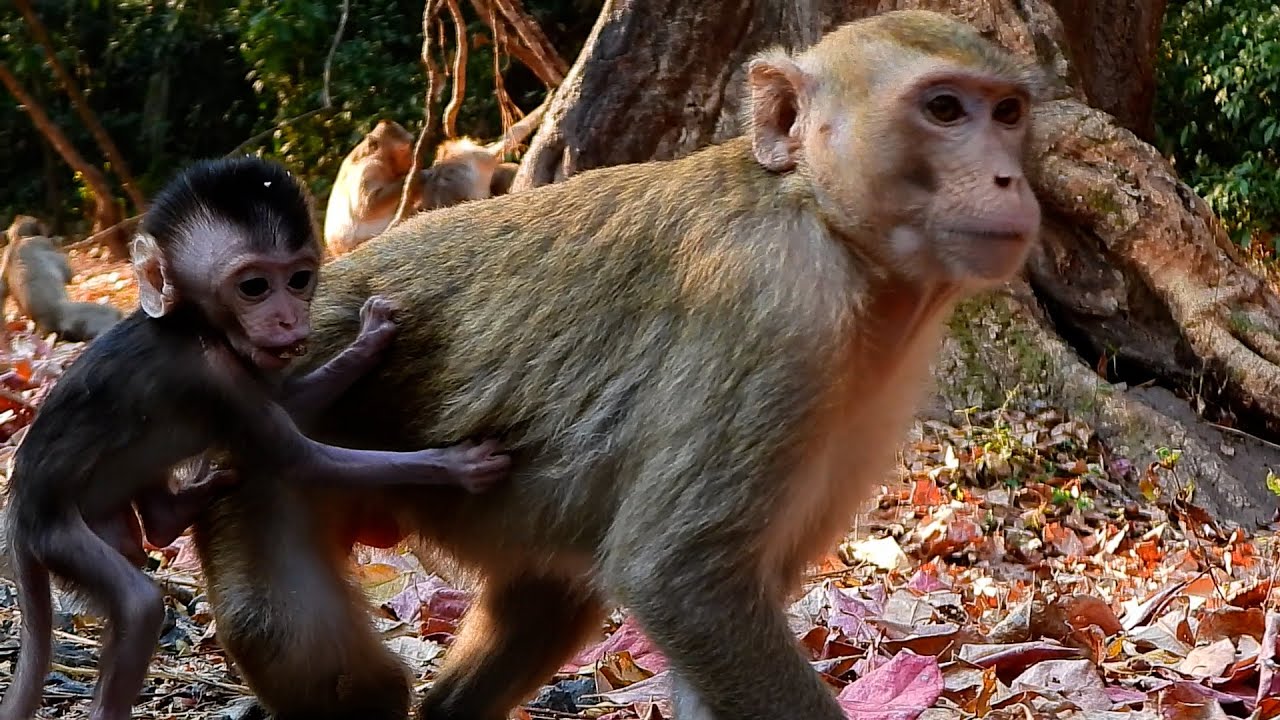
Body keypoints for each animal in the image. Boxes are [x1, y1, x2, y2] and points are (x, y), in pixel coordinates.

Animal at [0, 155, 512, 720]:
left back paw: (168, 516)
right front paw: (456, 466)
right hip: (56, 531)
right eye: (254, 288)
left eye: (300, 279)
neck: (197, 325)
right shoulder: (214, 374)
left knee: (141, 526)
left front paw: (368, 342)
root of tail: (19, 505)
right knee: (138, 604)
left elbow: (290, 406)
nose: (289, 320)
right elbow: (299, 460)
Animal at [193, 11, 1043, 720]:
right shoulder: (773, 314)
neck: (830, 228)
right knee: (320, 661)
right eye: (943, 110)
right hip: (259, 458)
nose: (1010, 177)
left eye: (1007, 114)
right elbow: (682, 577)